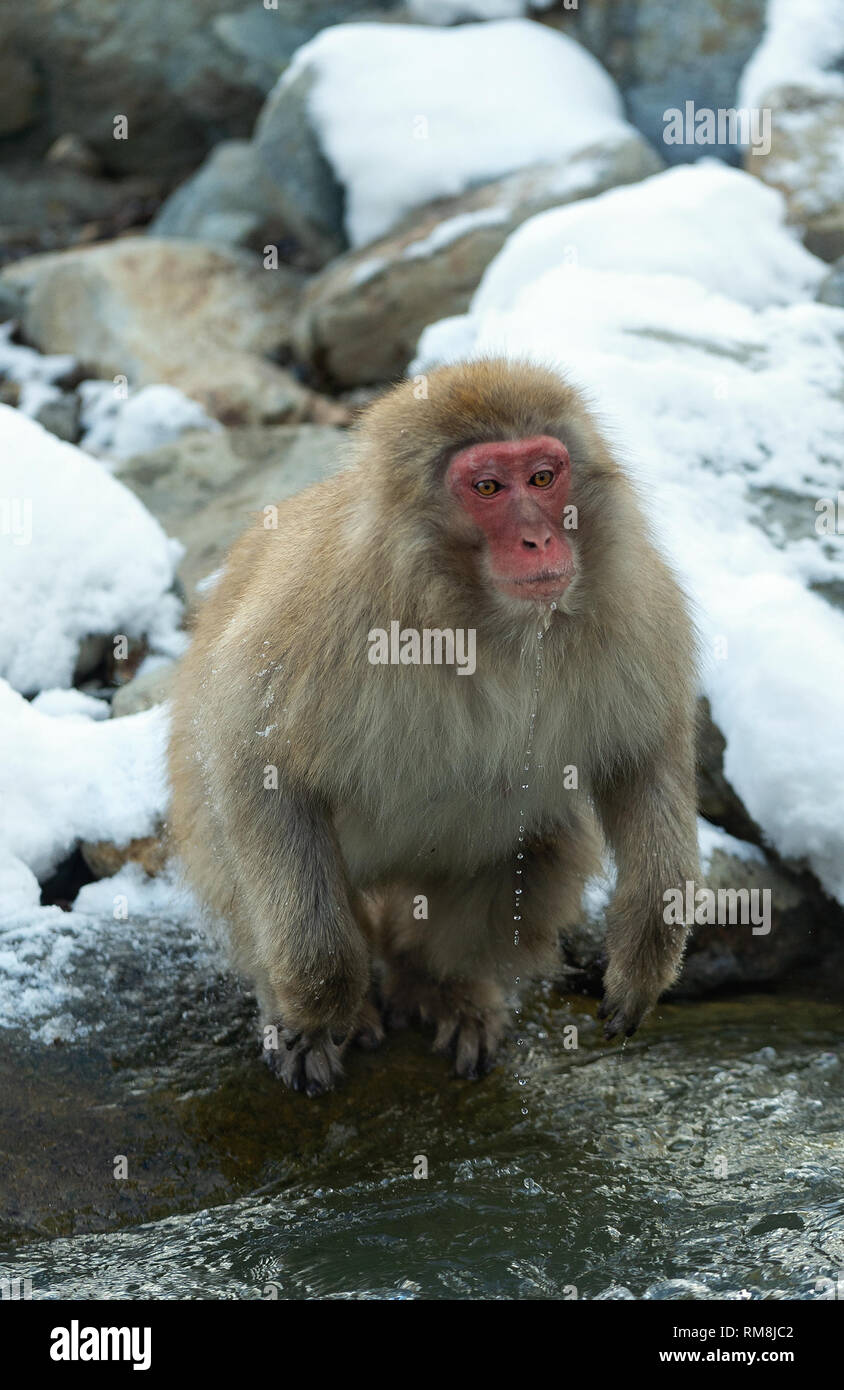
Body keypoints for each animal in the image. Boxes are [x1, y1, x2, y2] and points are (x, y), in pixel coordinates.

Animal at [168, 358, 700, 1095]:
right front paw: (320, 1004)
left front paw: (646, 949)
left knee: (542, 844)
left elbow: (646, 758)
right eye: (487, 487)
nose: (539, 539)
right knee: (235, 837)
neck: (481, 622)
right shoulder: (328, 620)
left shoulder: (631, 600)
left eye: (543, 477)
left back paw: (438, 984)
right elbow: (255, 764)